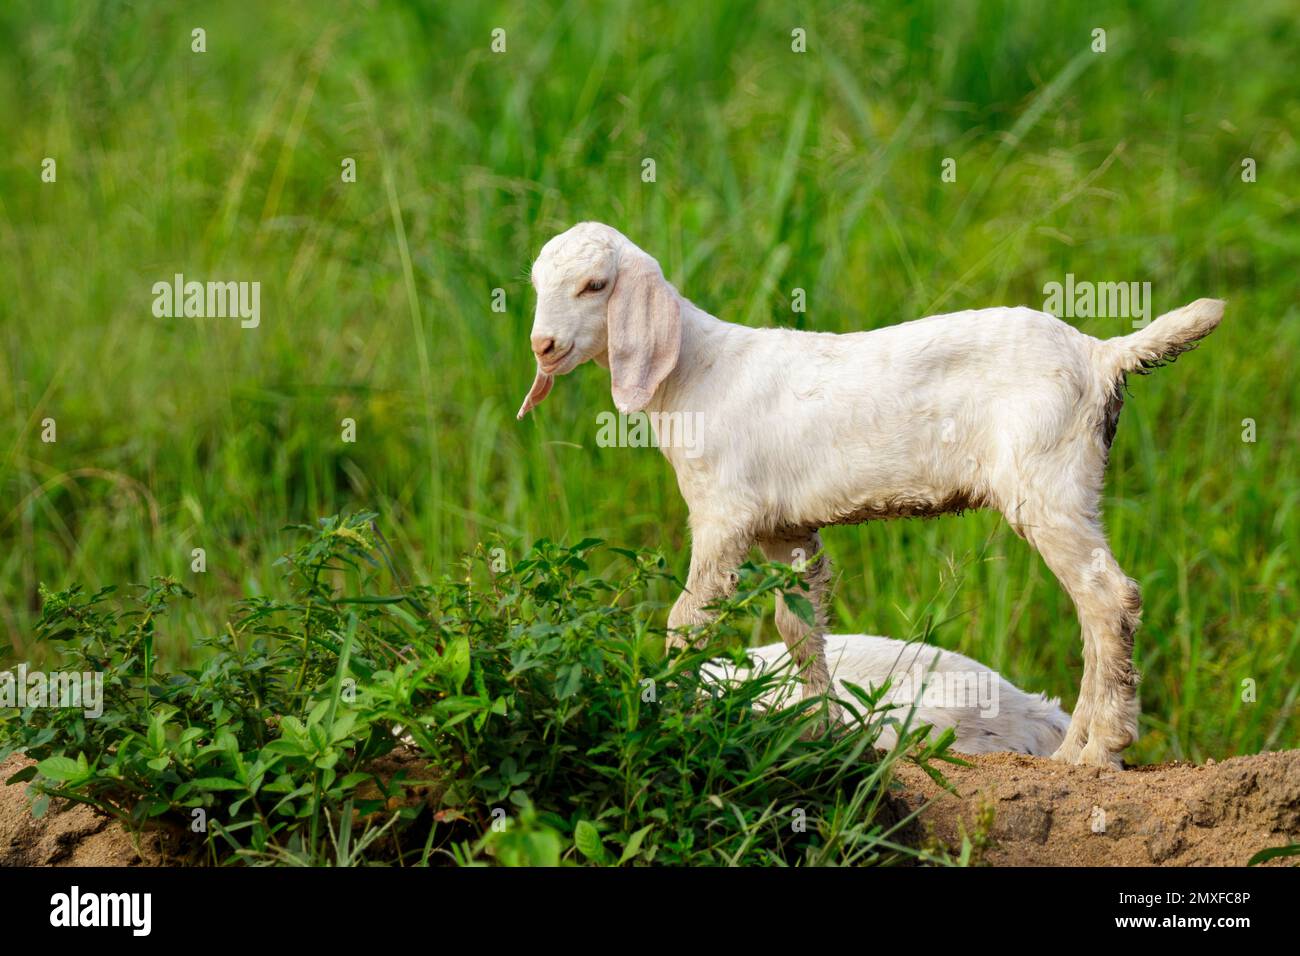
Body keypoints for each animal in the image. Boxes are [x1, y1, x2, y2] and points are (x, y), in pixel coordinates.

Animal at [517, 221, 1224, 768]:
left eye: (595, 285)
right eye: (536, 285)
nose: (542, 346)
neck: (694, 371)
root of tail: (1101, 354)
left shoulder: (724, 515)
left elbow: (688, 621)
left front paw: (667, 718)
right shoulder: (784, 528)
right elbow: (800, 625)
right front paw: (823, 734)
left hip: (1047, 481)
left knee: (1109, 598)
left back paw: (1098, 749)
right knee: (1096, 606)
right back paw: (1075, 748)